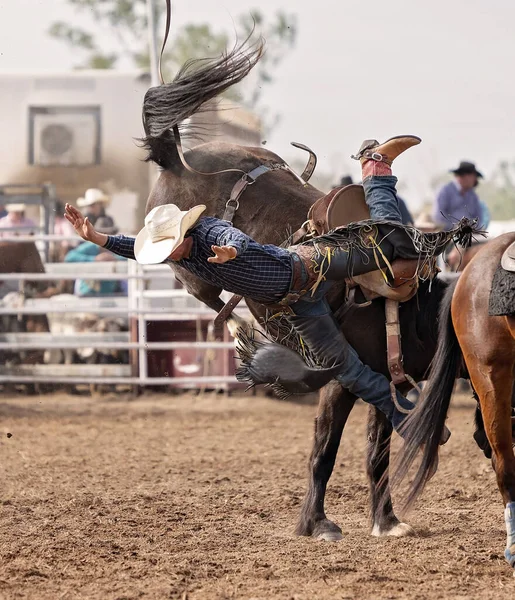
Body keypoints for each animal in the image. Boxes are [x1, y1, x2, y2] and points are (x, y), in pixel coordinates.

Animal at [141, 42, 452, 540]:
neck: (407, 310)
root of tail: (174, 159)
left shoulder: (386, 381)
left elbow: (377, 454)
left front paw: (386, 521)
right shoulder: (343, 379)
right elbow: (324, 451)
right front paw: (316, 523)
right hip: (182, 261)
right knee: (212, 300)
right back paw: (248, 336)